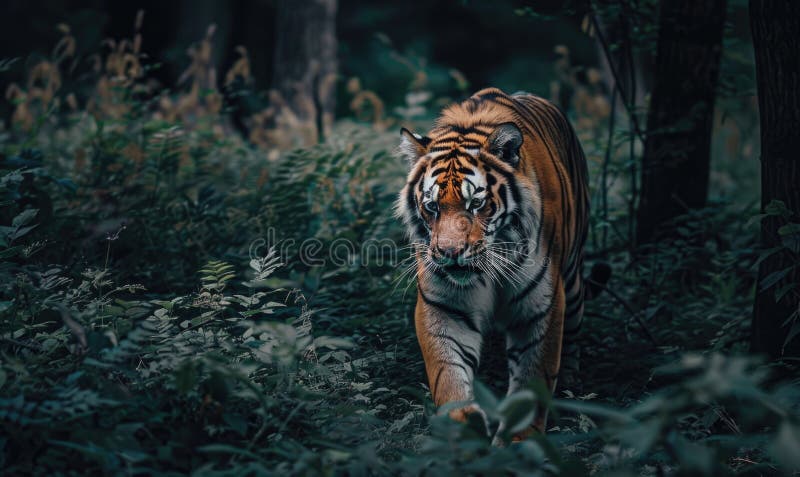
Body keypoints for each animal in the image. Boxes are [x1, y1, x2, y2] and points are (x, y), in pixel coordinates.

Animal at [396, 87, 592, 438]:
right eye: (432, 206)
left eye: (476, 203)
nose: (450, 252)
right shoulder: (443, 307)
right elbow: (448, 375)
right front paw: (464, 428)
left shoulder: (541, 307)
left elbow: (533, 382)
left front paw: (519, 443)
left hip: (572, 280)